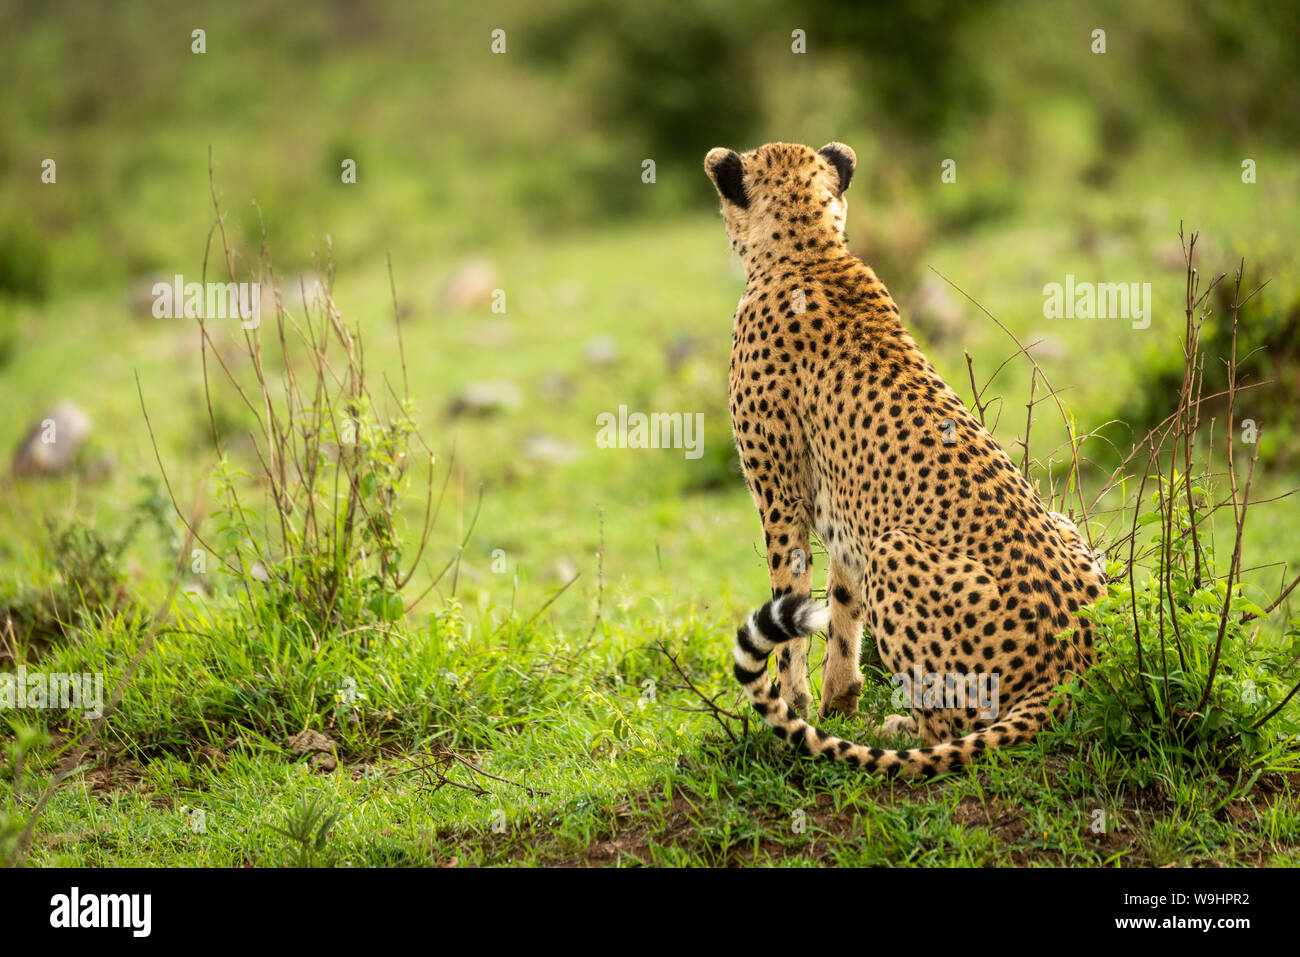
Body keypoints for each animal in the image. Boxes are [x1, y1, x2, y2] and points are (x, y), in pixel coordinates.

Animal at [704, 140, 1106, 778]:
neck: (809, 249)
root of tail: (1068, 669)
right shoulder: (844, 511)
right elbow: (840, 605)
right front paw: (838, 700)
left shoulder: (782, 498)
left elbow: (789, 597)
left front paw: (794, 703)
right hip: (1066, 527)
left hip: (894, 549)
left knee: (951, 728)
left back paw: (900, 729)